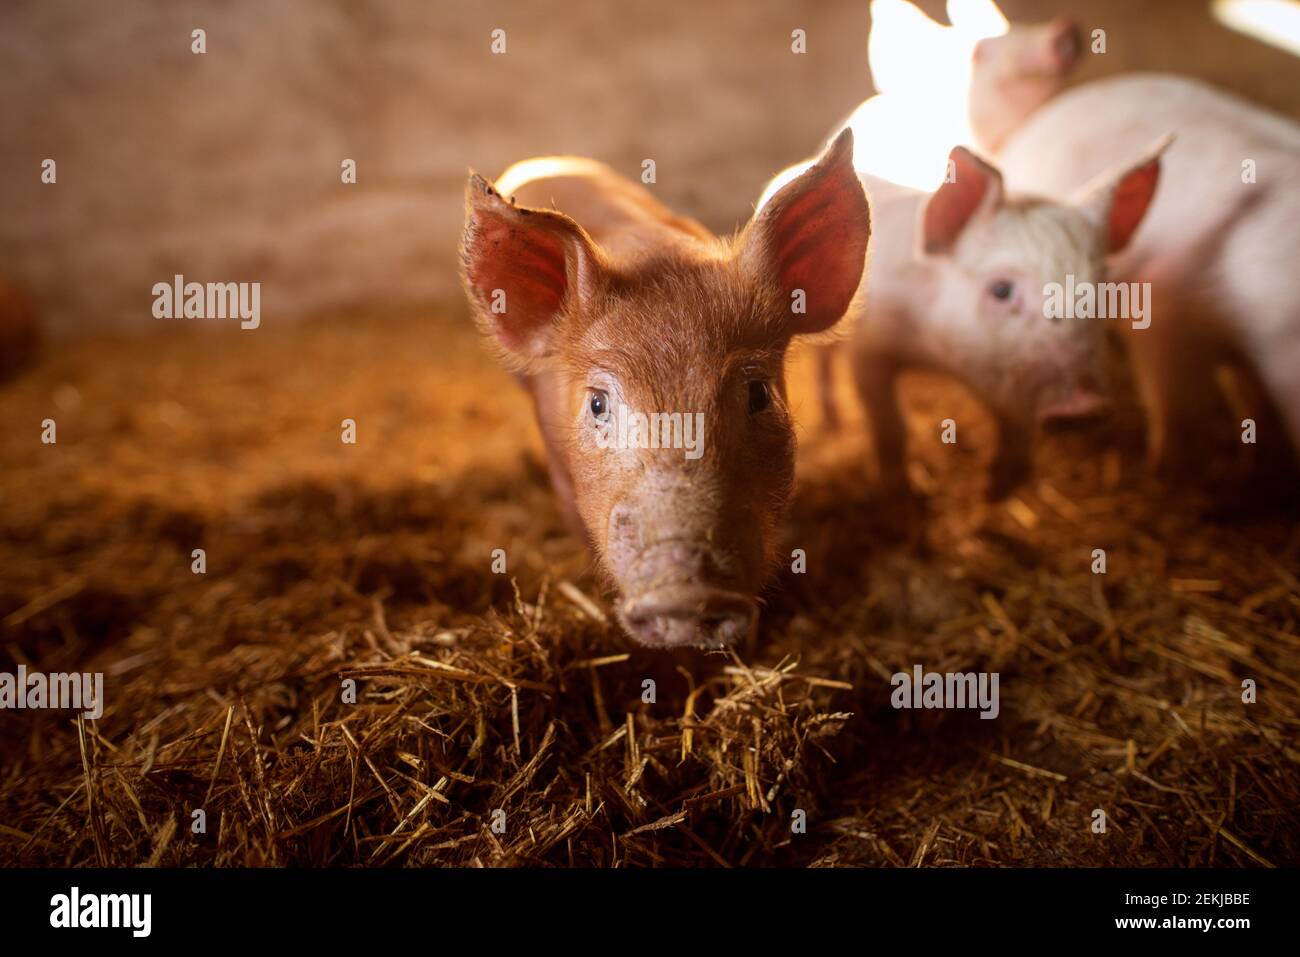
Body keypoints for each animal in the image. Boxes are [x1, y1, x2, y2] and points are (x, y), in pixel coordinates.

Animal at [801, 142, 1163, 502]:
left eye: (1101, 292)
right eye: (1001, 290)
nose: (1085, 407)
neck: (934, 357)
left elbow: (1013, 421)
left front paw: (995, 491)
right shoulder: (869, 348)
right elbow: (889, 424)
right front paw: (901, 492)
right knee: (823, 359)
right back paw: (833, 424)